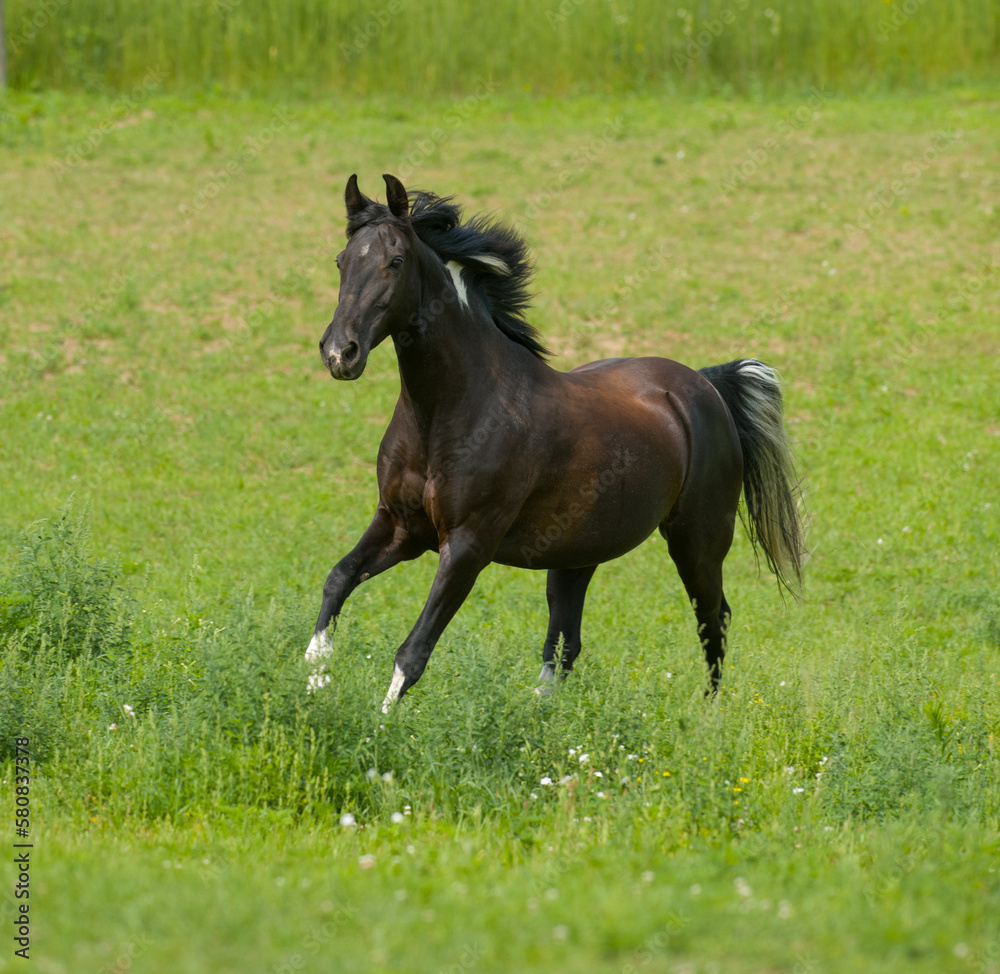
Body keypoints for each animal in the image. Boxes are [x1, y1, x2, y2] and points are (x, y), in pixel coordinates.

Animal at [305, 173, 806, 713]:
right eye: (341, 260)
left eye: (395, 261)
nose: (340, 353)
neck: (448, 411)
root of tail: (705, 386)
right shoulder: (400, 527)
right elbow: (337, 580)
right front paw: (313, 684)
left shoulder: (467, 545)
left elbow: (413, 651)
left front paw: (379, 726)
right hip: (578, 554)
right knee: (564, 644)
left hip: (698, 539)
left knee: (713, 618)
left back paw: (707, 715)